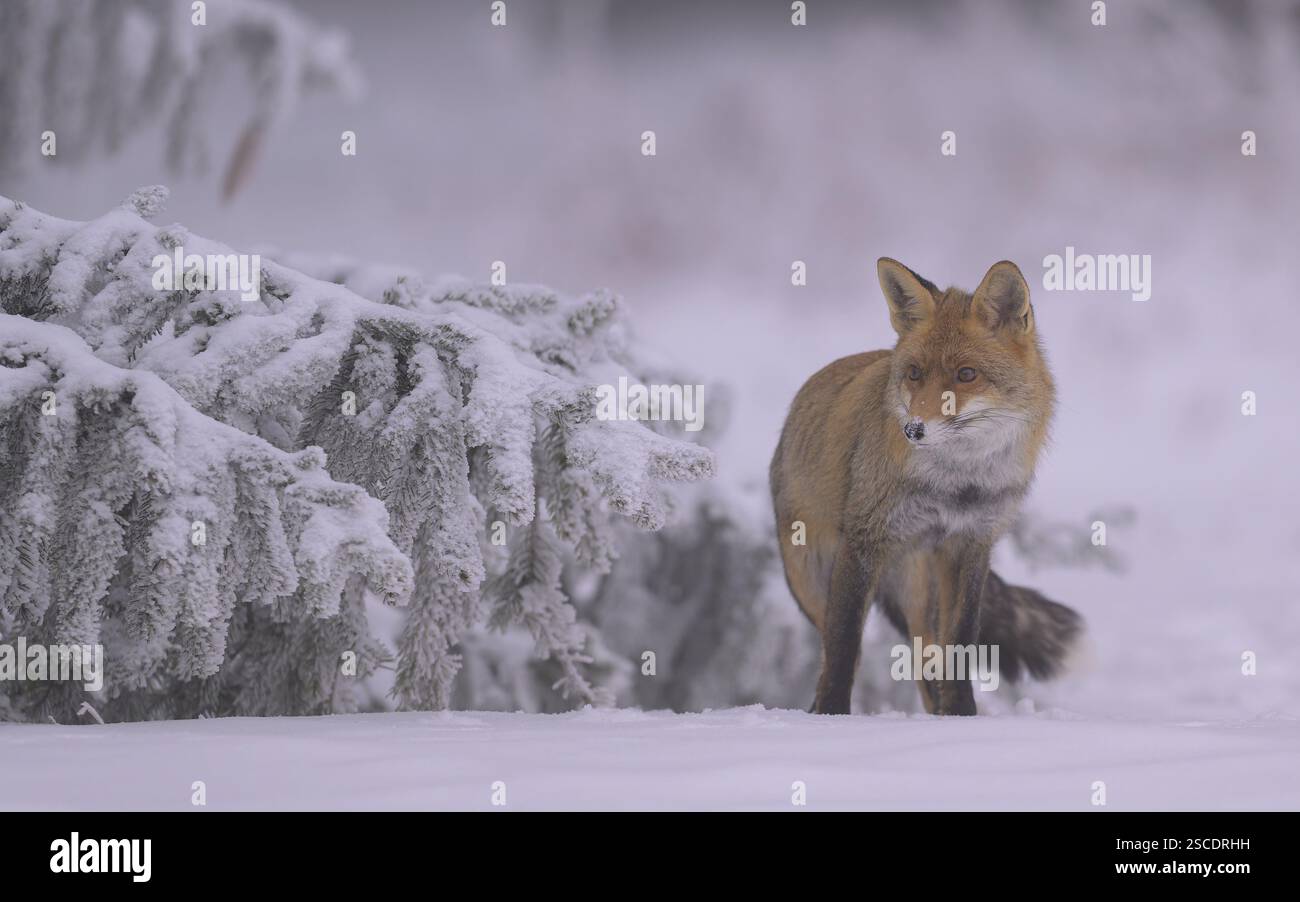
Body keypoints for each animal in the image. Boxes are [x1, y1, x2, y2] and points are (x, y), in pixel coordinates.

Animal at [769, 258, 1082, 716]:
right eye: (915, 374)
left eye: (966, 374)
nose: (913, 429)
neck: (956, 484)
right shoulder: (863, 541)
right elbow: (844, 645)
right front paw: (830, 716)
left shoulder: (970, 545)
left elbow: (961, 644)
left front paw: (962, 715)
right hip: (809, 575)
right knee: (837, 646)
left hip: (919, 592)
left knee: (926, 661)